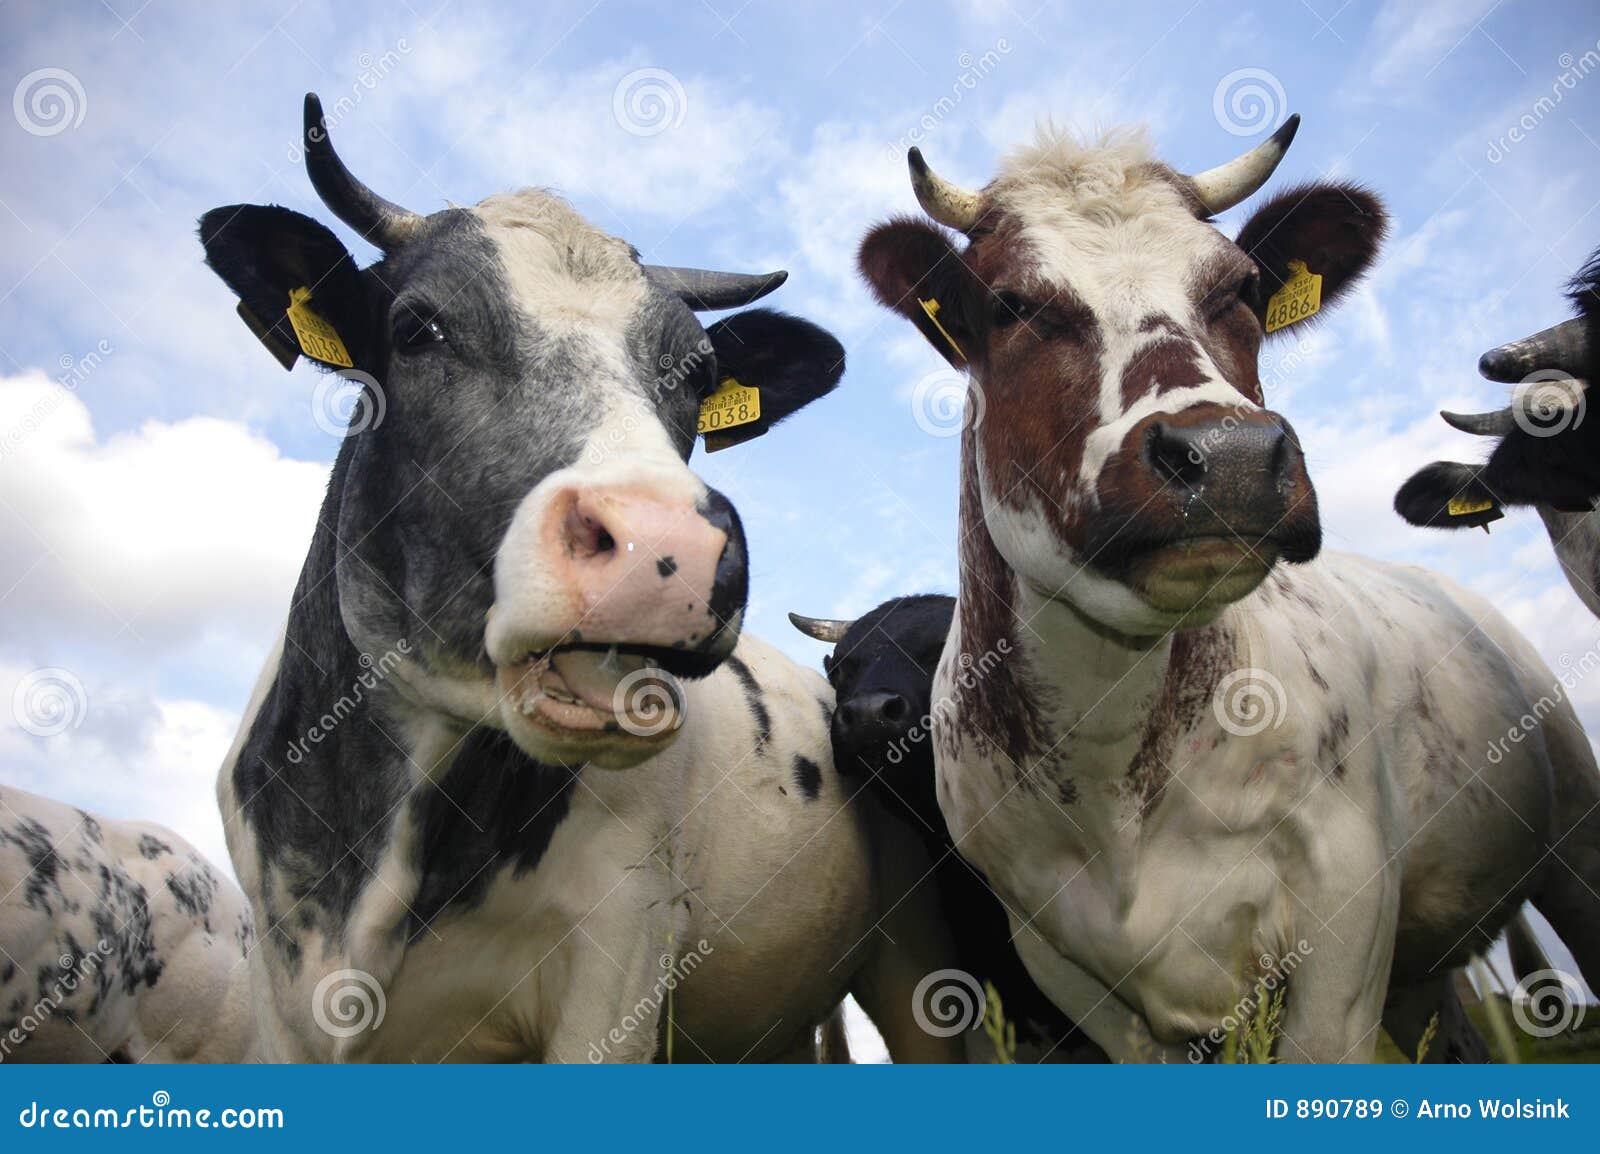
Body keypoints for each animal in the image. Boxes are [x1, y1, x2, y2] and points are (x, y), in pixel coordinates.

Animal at [209, 95, 959, 1063]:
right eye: (416, 328)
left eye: (699, 372)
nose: (669, 545)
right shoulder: (277, 995)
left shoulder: (618, 960)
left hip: (920, 963)